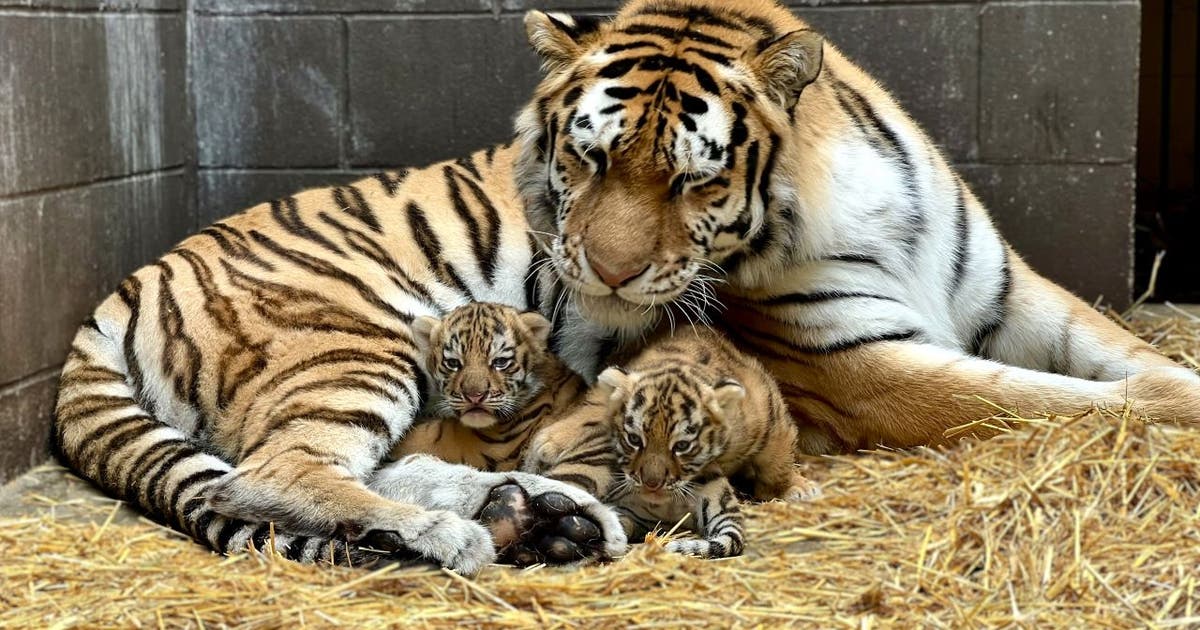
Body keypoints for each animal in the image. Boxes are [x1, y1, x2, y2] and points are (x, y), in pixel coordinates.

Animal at [527, 328, 819, 559]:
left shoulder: (770, 411)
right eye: (634, 440)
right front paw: (547, 444)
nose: (651, 484)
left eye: (681, 446)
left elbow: (776, 461)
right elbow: (592, 407)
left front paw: (793, 487)